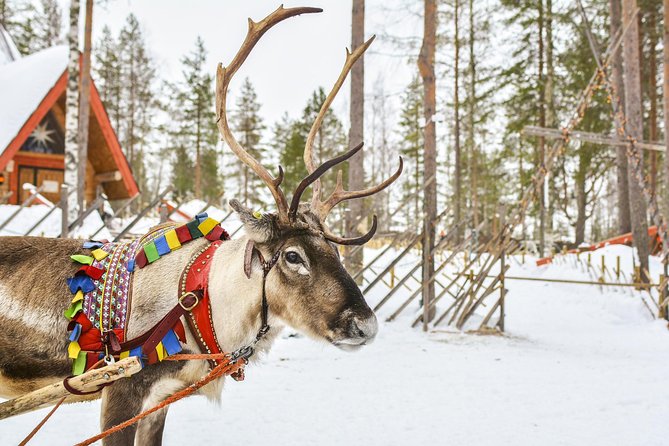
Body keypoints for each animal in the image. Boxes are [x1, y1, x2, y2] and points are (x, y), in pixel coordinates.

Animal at [0, 5, 402, 445]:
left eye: (334, 250)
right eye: (293, 256)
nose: (366, 325)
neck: (203, 304)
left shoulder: (161, 399)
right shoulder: (120, 391)